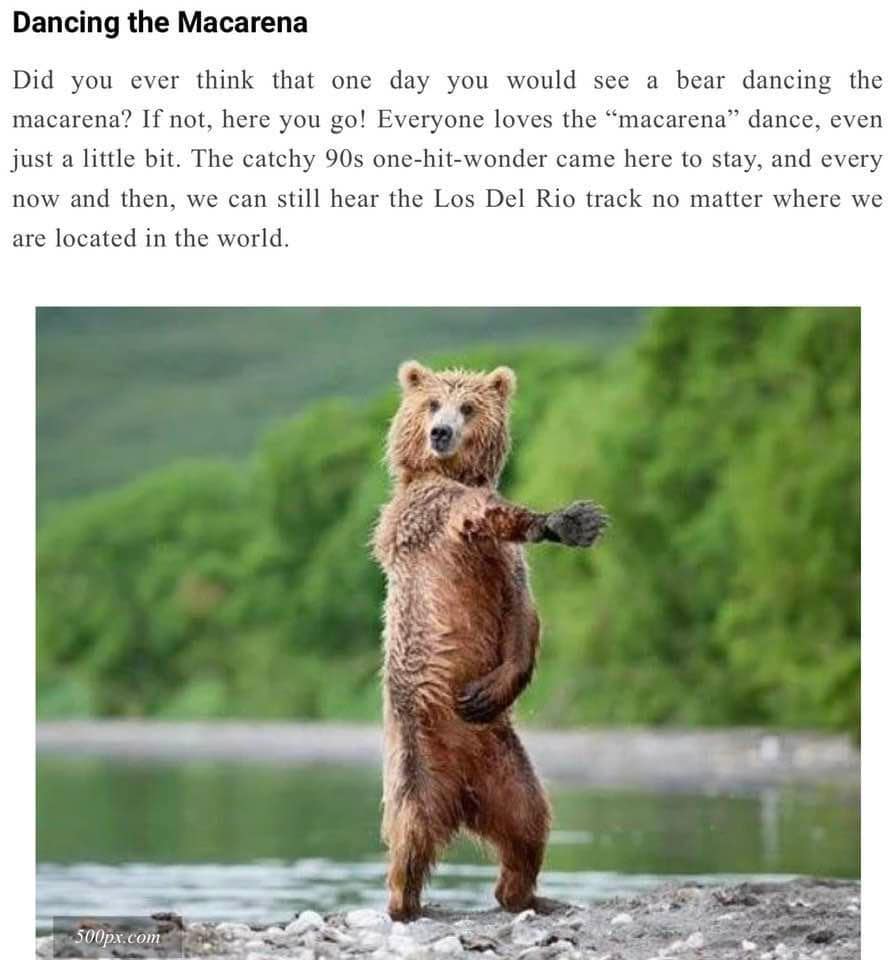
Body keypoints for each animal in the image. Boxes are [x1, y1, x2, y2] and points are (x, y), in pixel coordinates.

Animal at [373, 360, 608, 920]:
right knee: (410, 831)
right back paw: (406, 902)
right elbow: (481, 515)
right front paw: (562, 520)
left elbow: (523, 614)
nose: (441, 433)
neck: (448, 474)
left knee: (530, 820)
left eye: (468, 407)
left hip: (506, 762)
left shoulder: (507, 568)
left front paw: (486, 692)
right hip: (415, 757)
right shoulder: (437, 514)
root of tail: (462, 797)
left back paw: (526, 894)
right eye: (432, 404)